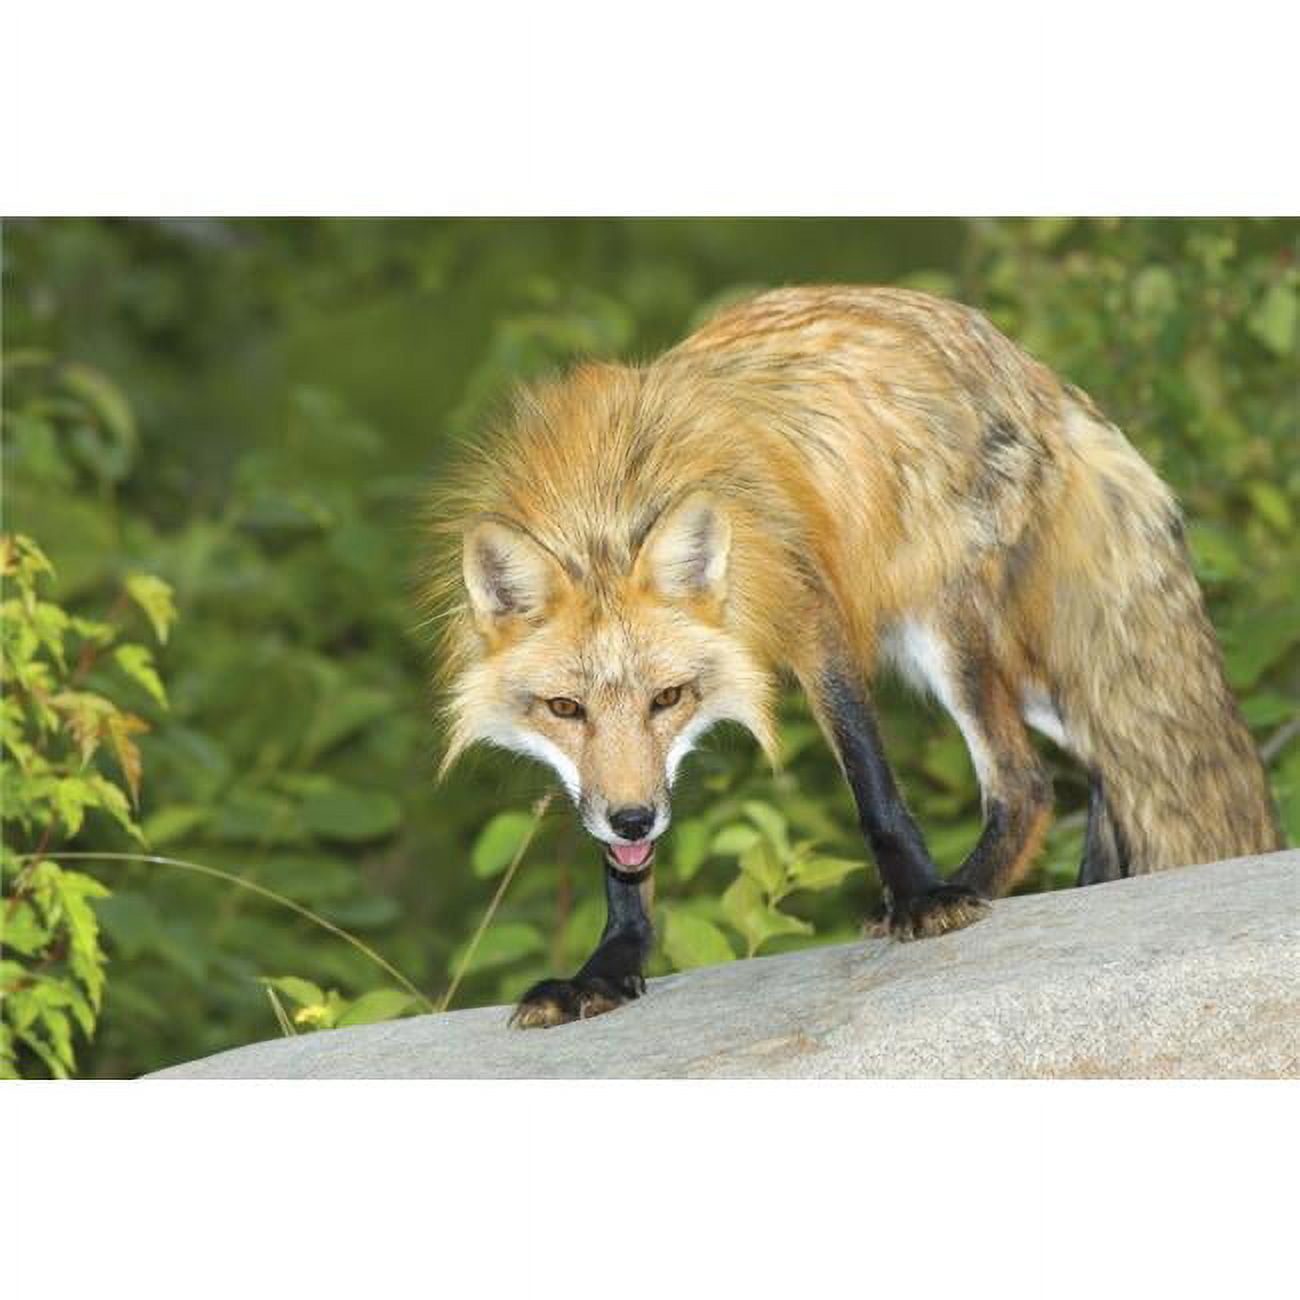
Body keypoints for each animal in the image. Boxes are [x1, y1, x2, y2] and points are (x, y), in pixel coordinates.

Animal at [428, 285, 1282, 1029]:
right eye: (564, 709)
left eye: (669, 698)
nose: (635, 816)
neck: (607, 507)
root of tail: (1037, 374)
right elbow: (622, 871)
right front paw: (608, 968)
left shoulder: (814, 618)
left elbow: (873, 787)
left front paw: (921, 896)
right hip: (1014, 667)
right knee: (1113, 756)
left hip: (946, 629)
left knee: (1030, 781)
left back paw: (967, 885)